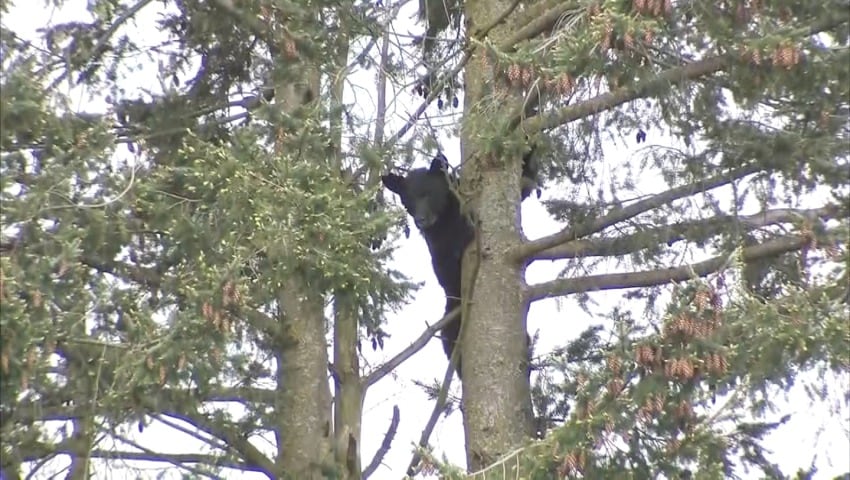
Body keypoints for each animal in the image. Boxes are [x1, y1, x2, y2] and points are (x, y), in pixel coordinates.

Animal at [382, 152, 534, 380]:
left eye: (427, 194)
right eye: (408, 201)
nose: (420, 220)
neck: (445, 215)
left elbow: (524, 184)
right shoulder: (437, 244)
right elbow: (447, 258)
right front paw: (466, 229)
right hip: (452, 315)